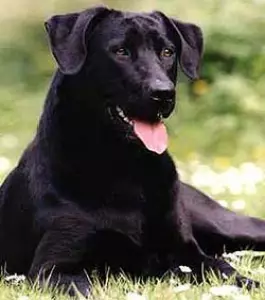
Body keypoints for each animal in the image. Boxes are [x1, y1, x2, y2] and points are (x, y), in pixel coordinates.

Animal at [0, 5, 264, 296]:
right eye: (121, 51)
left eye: (167, 52)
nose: (164, 93)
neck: (126, 167)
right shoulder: (52, 268)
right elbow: (87, 288)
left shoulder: (186, 251)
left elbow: (225, 270)